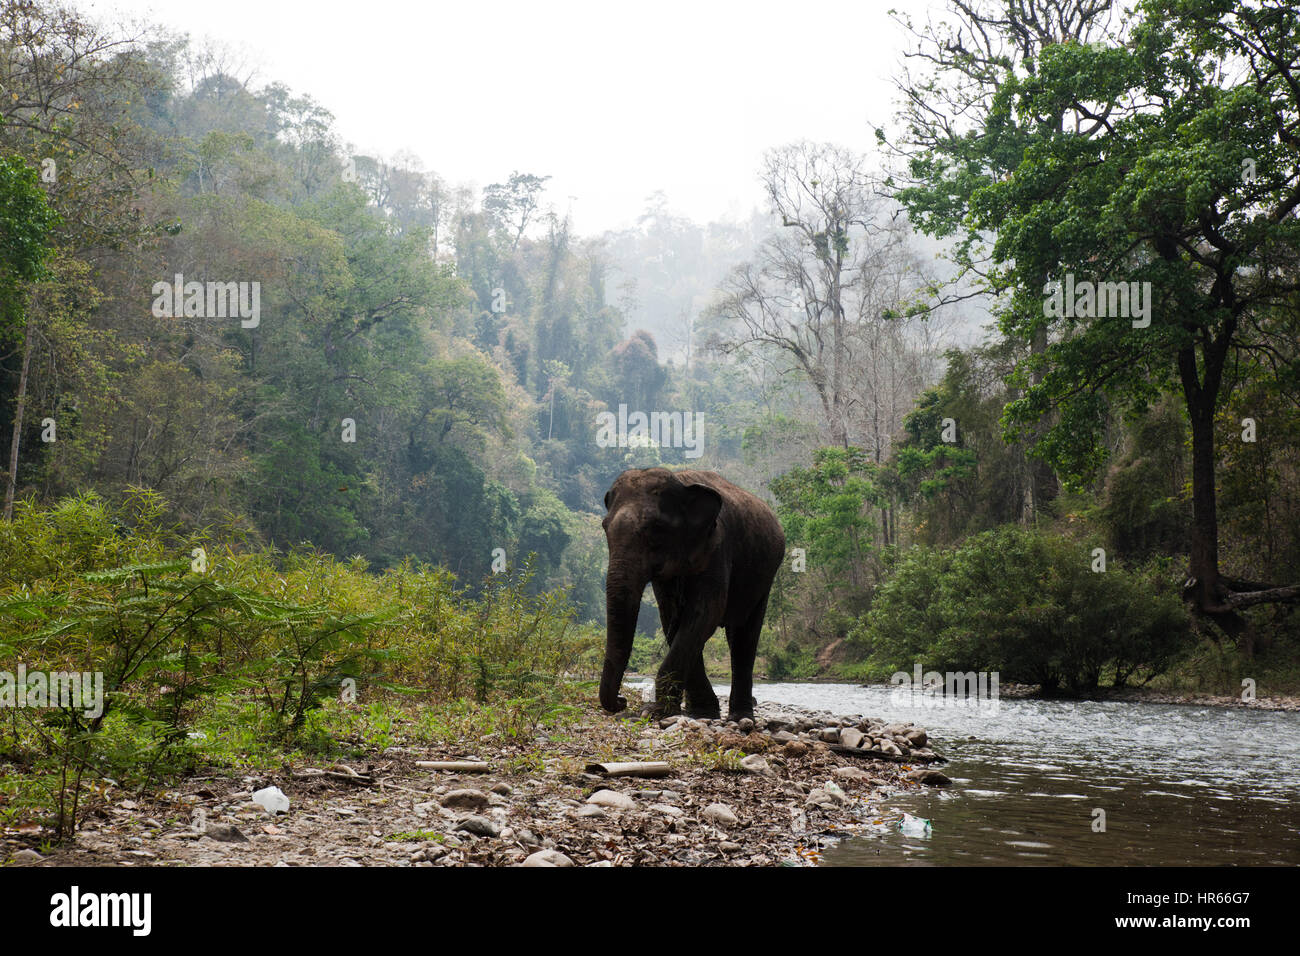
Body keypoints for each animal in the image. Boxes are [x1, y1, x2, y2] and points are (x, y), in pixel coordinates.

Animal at [598, 467, 785, 721]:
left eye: (656, 528)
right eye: (604, 527)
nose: (621, 701)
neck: (681, 483)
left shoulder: (717, 546)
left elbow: (705, 613)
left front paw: (654, 711)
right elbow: (672, 618)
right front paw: (701, 712)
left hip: (764, 577)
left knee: (744, 635)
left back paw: (741, 717)